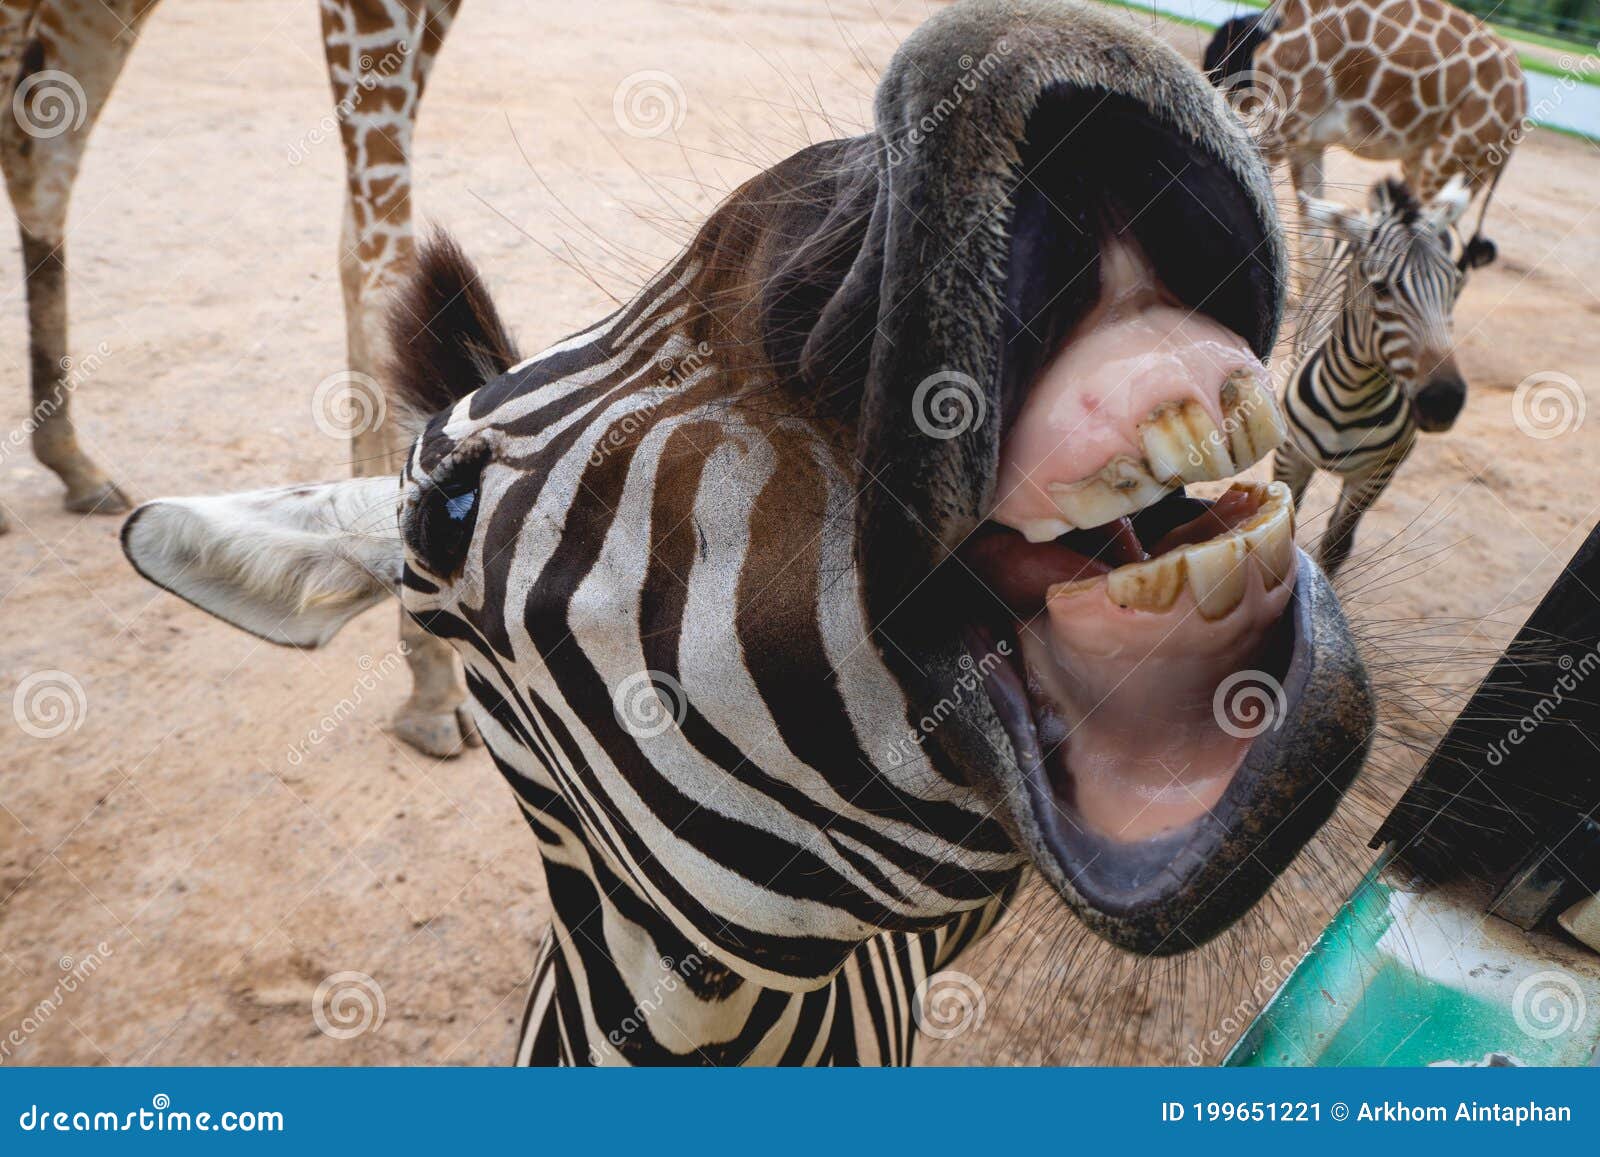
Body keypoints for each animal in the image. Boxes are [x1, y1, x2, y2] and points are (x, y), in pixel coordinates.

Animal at [1275, 176, 1495, 577]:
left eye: (1454, 285)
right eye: (1380, 288)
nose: (1444, 402)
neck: (1351, 398)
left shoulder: (1376, 475)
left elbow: (1336, 546)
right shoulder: (1290, 456)